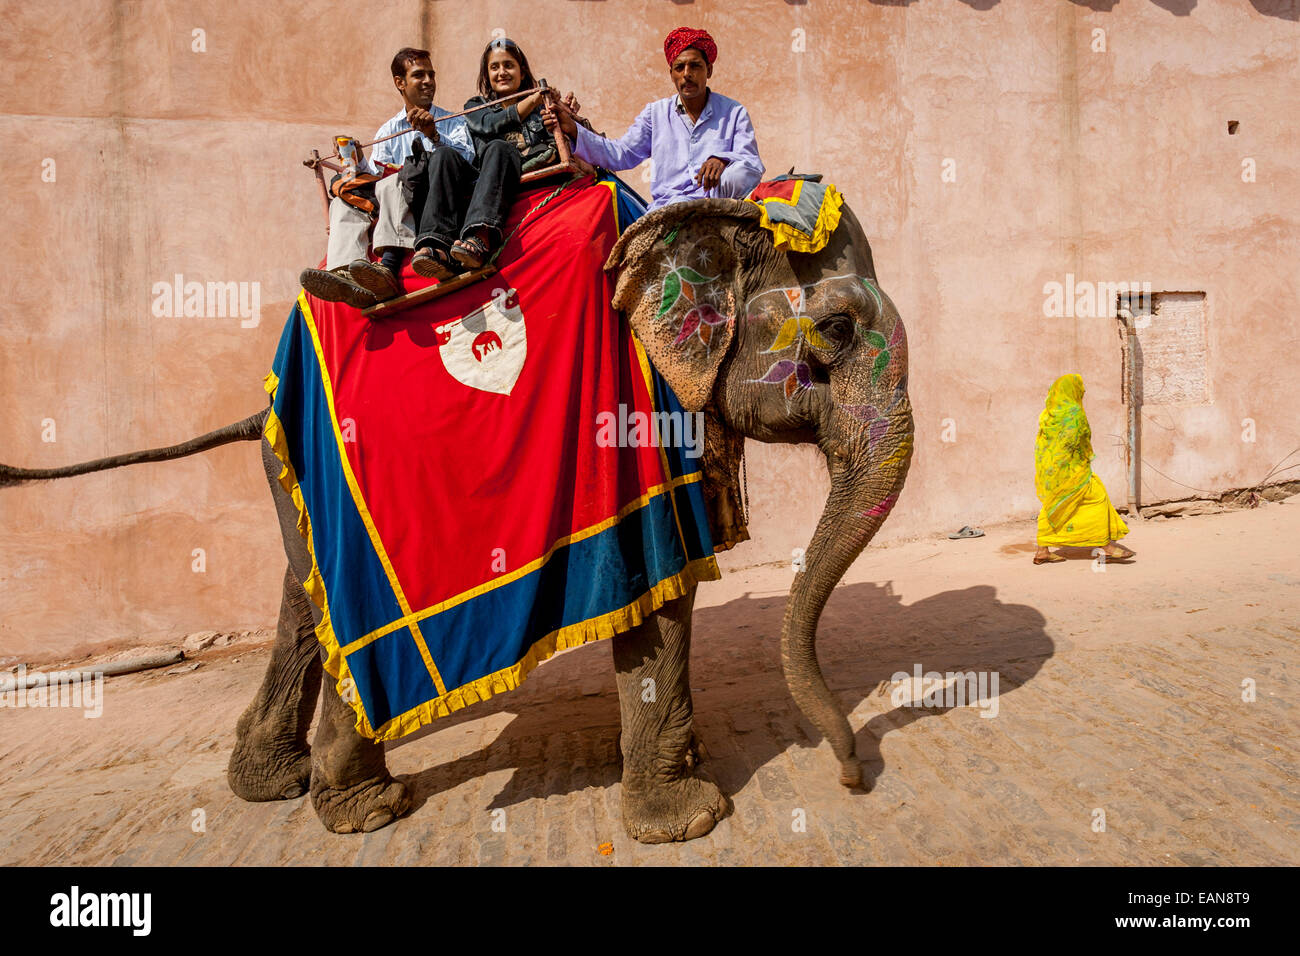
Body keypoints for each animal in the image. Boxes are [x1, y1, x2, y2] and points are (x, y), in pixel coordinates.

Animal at [0, 194, 913, 843]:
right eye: (834, 329)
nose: (852, 775)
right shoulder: (627, 424)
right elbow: (656, 590)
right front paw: (690, 820)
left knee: (303, 591)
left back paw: (273, 785)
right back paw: (365, 809)